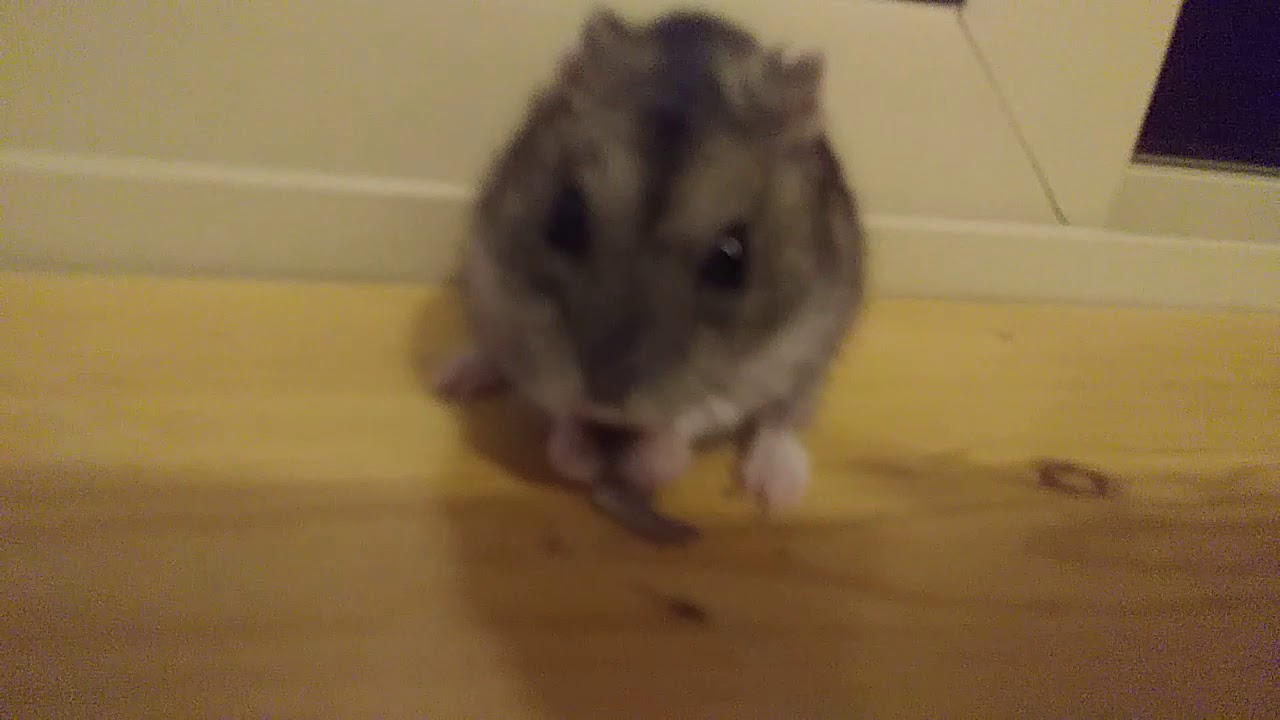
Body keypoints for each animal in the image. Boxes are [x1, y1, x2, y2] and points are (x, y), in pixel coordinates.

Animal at [436, 7, 865, 518]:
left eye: (733, 259)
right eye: (563, 219)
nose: (603, 400)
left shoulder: (792, 338)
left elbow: (706, 407)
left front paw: (647, 462)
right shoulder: (501, 288)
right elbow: (551, 400)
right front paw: (578, 455)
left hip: (816, 355)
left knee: (783, 418)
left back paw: (779, 492)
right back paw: (454, 378)